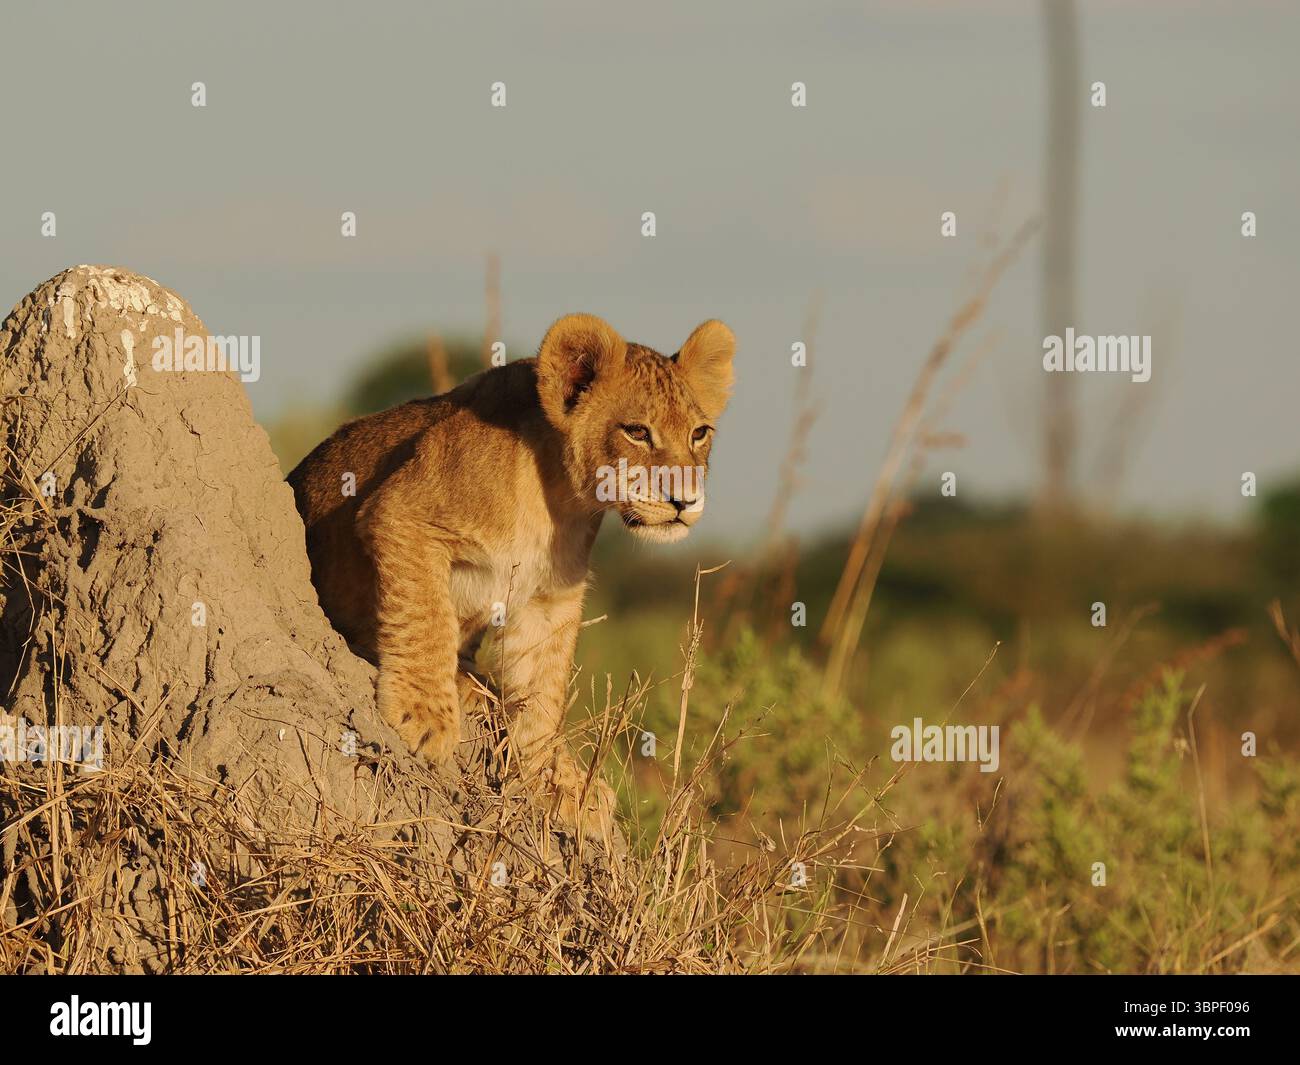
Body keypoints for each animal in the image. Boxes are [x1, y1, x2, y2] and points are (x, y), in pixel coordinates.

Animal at [287, 314, 736, 837]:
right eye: (637, 432)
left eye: (699, 433)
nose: (686, 501)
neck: (559, 497)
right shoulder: (401, 513)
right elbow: (425, 618)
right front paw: (424, 716)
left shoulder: (550, 597)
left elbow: (544, 691)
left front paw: (556, 783)